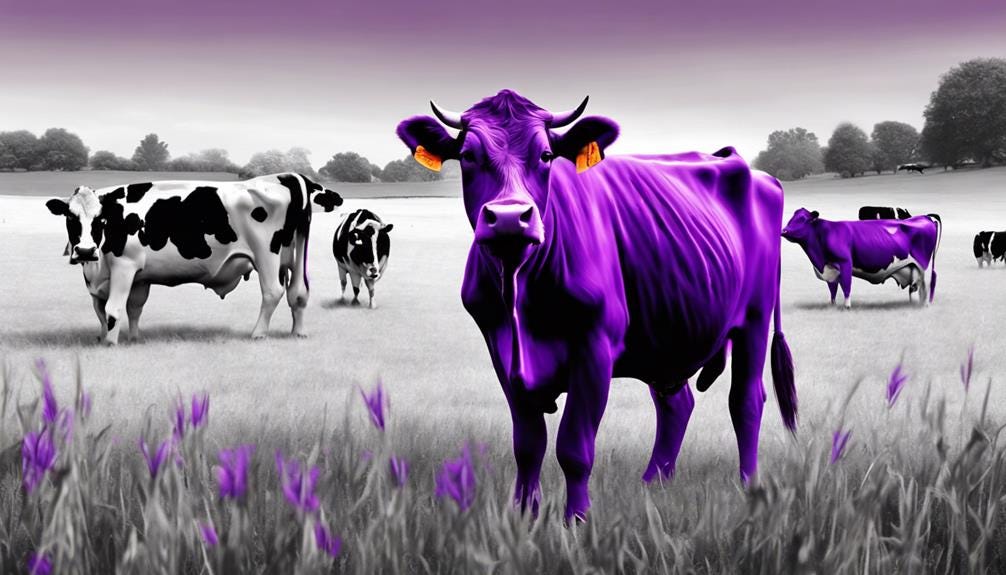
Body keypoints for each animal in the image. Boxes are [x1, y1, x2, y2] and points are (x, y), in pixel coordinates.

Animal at [45, 173, 343, 345]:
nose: (84, 251)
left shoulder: (124, 266)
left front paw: (110, 344)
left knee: (273, 292)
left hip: (266, 254)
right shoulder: (136, 277)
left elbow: (112, 310)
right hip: (293, 255)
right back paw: (298, 333)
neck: (95, 269)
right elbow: (130, 308)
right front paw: (132, 338)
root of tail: (290, 175)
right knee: (298, 293)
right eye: (70, 217)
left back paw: (258, 333)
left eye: (101, 219)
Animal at [396, 90, 797, 521]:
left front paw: (576, 520)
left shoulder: (594, 347)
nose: (508, 218)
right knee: (676, 404)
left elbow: (574, 447)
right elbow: (528, 444)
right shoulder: (500, 349)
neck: (518, 289)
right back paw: (651, 484)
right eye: (468, 155)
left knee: (746, 401)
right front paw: (524, 515)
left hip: (753, 319)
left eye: (546, 155)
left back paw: (748, 485)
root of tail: (752, 170)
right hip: (664, 331)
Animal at [782, 208, 941, 308]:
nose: (784, 231)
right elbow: (832, 289)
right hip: (914, 268)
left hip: (924, 265)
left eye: (802, 219)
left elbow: (846, 285)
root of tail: (924, 217)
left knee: (927, 284)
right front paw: (832, 305)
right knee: (916, 287)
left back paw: (925, 306)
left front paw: (847, 307)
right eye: (792, 217)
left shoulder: (845, 262)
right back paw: (917, 304)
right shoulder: (830, 269)